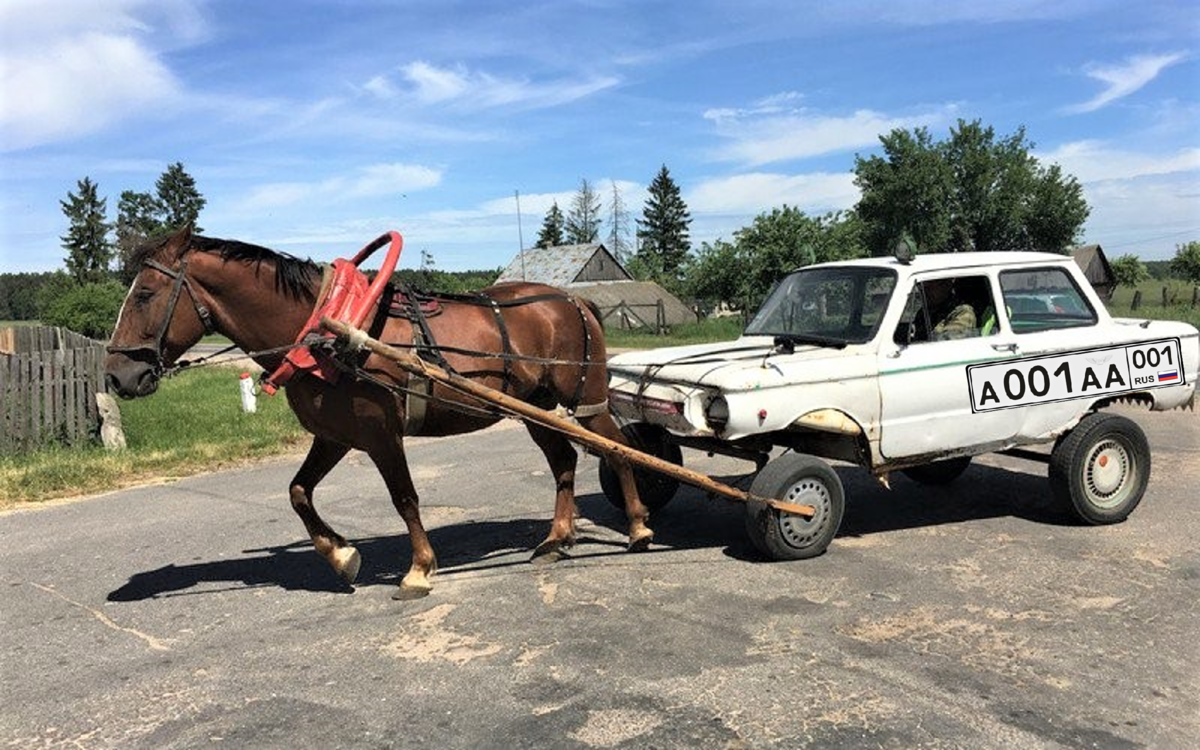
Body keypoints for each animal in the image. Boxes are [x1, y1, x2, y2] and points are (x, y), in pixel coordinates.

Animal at [106, 226, 652, 597]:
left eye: (146, 294)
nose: (116, 375)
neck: (328, 330)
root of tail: (574, 300)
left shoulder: (381, 432)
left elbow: (404, 498)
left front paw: (419, 568)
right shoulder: (334, 435)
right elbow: (298, 492)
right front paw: (342, 555)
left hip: (583, 400)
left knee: (618, 447)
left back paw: (639, 528)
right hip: (535, 407)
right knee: (564, 461)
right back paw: (556, 540)